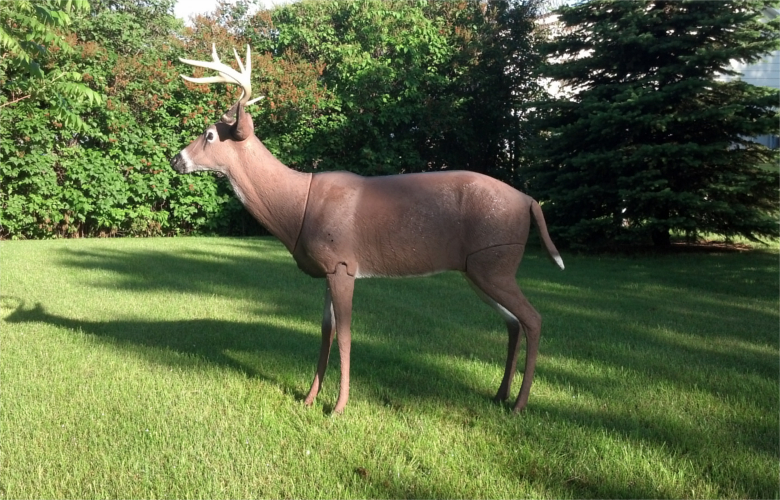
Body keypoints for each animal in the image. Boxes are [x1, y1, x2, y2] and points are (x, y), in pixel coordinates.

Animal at [170, 45, 564, 414]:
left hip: (496, 262)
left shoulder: (342, 264)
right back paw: (500, 395)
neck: (298, 206)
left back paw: (519, 404)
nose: (175, 159)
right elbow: (325, 332)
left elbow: (344, 334)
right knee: (513, 323)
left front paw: (338, 407)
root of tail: (530, 201)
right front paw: (309, 399)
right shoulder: (327, 270)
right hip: (477, 270)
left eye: (209, 135)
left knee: (533, 319)